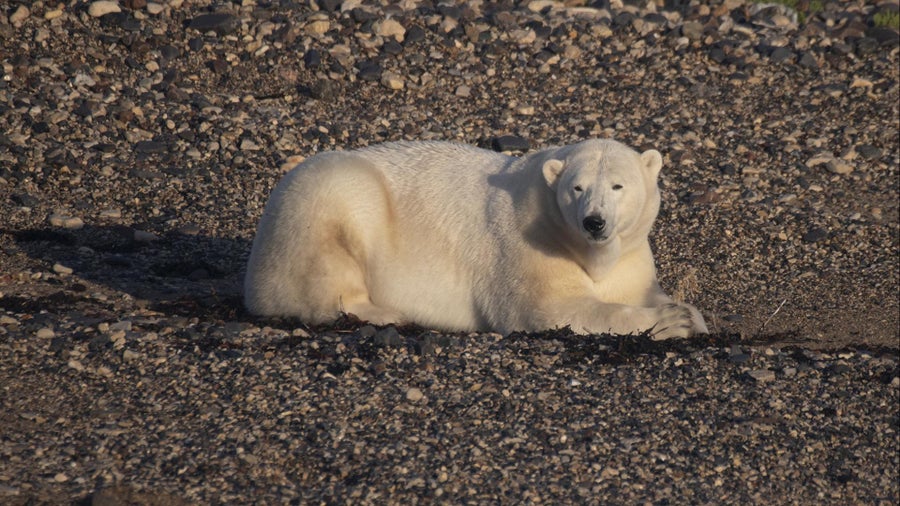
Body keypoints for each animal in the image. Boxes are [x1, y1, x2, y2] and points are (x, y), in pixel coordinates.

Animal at [244, 139, 708, 339]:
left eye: (618, 186)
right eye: (577, 187)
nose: (594, 222)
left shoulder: (630, 256)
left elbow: (636, 288)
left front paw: (689, 314)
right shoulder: (529, 246)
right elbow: (549, 308)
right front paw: (671, 322)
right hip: (323, 198)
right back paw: (386, 312)